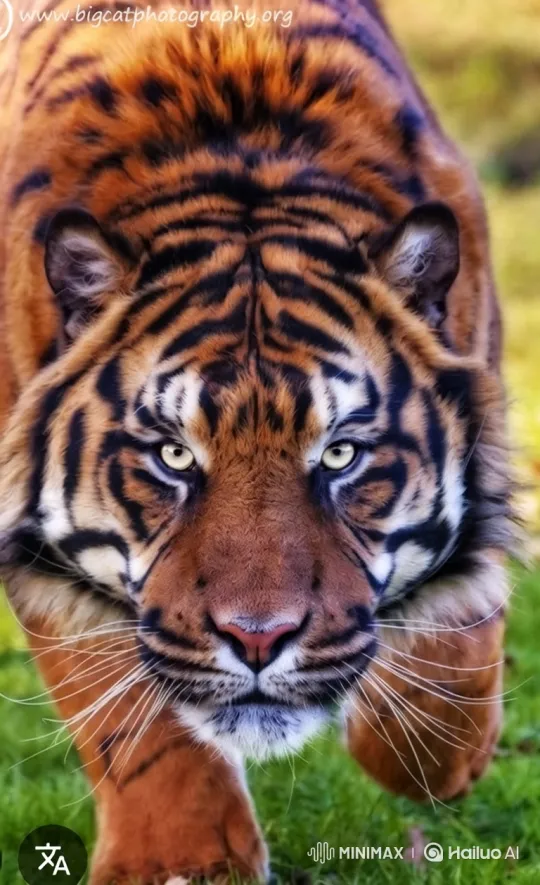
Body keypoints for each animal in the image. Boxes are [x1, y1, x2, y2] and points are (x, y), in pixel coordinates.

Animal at [0, 0, 515, 881]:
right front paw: (178, 859)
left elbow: (451, 627)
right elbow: (125, 703)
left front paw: (439, 752)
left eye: (341, 454)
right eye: (172, 455)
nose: (258, 638)